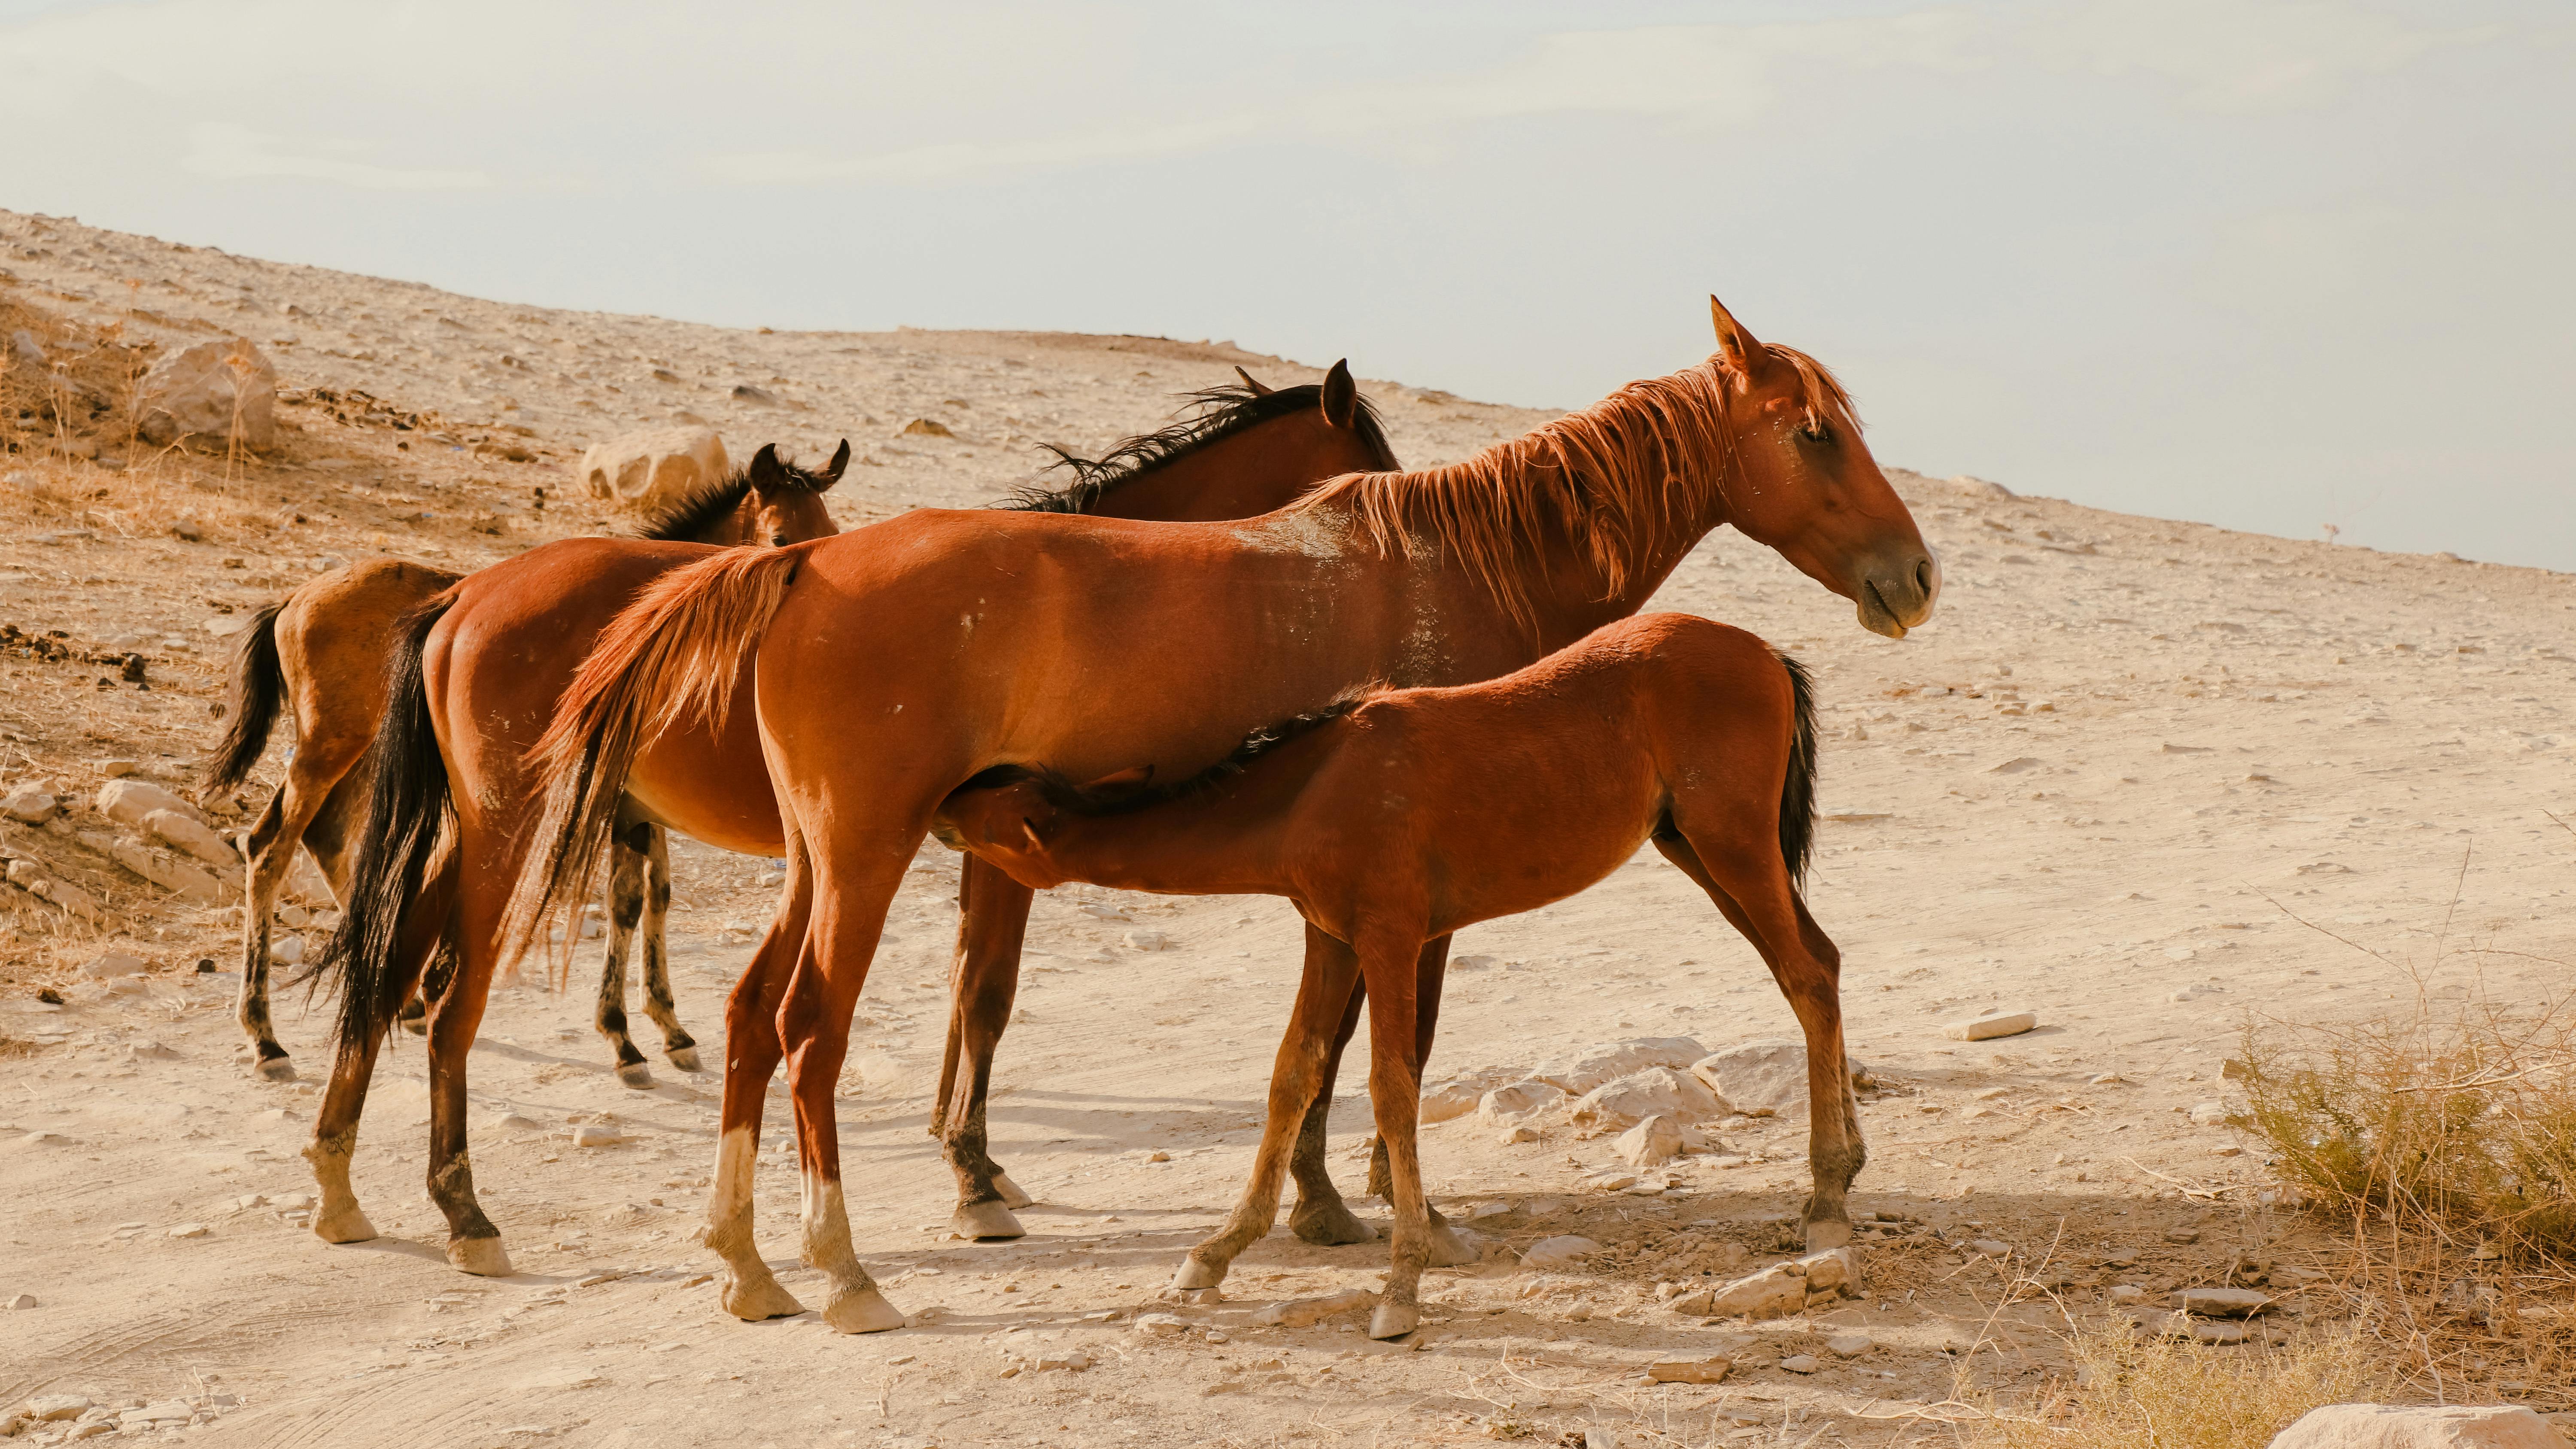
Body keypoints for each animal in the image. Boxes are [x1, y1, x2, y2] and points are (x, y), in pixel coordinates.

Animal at [202, 441, 851, 1086]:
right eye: (780, 535)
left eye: (832, 531)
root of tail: (293, 600)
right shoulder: (622, 800)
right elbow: (627, 899)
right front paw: (625, 1038)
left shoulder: (645, 802)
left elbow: (656, 893)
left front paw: (668, 1028)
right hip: (328, 750)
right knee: (270, 847)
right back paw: (266, 1035)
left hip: (365, 761)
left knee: (330, 840)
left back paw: (398, 1000)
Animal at [300, 366, 1401, 1278]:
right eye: (1373, 470)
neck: (1094, 596)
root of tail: (463, 593)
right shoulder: (1002, 849)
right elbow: (985, 994)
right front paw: (972, 1175)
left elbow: (967, 991)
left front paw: (973, 1161)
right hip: (509, 831)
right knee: (448, 998)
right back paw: (464, 1208)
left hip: (474, 836)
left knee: (389, 965)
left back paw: (343, 1179)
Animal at [934, 612, 1826, 1339]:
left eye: (991, 807)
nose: (939, 803)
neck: (1313, 790)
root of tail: (1767, 655)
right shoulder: (1330, 940)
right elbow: (1292, 1077)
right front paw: (1219, 1251)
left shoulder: (1391, 940)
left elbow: (1393, 1089)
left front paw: (1402, 1285)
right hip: (1697, 848)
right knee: (1822, 963)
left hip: (1733, 846)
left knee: (1809, 978)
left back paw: (1829, 1205)